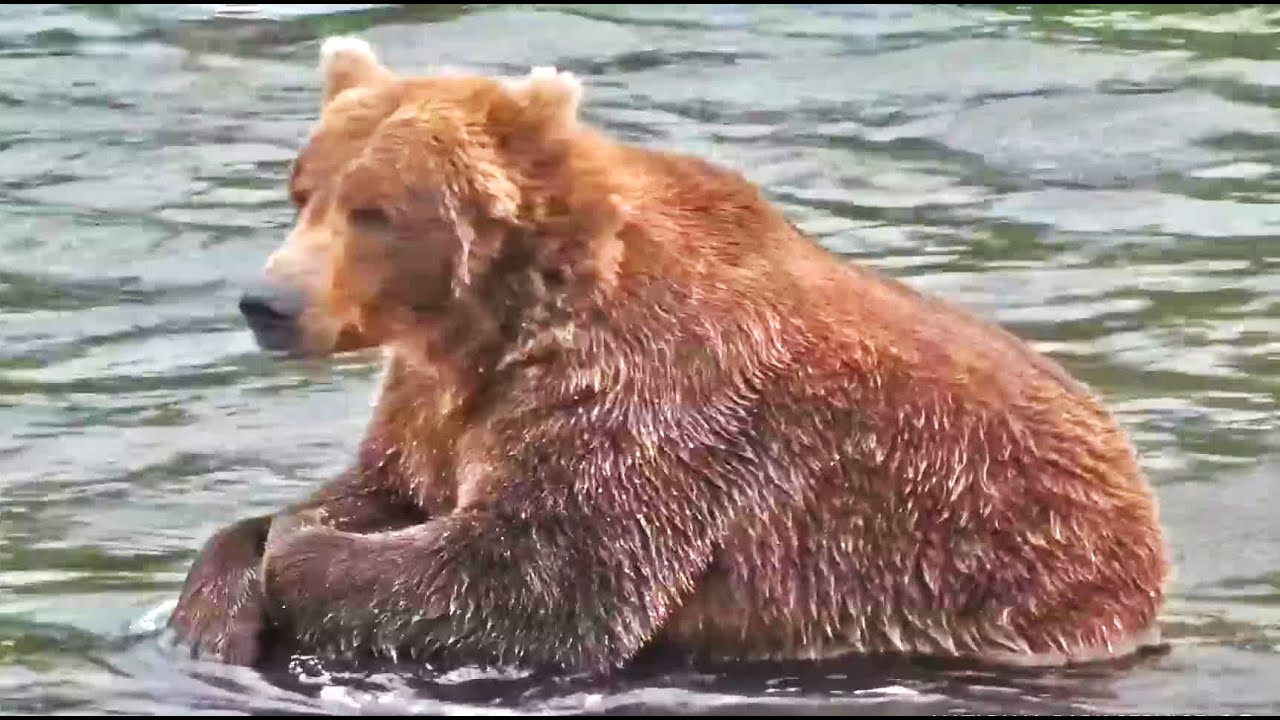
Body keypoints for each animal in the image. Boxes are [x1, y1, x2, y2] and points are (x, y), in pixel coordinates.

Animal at [167, 35, 1169, 675]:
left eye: (376, 209)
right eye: (303, 190)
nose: (269, 303)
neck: (495, 321)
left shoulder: (651, 398)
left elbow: (538, 577)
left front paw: (296, 551)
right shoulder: (436, 403)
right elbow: (385, 486)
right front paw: (218, 594)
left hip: (1008, 572)